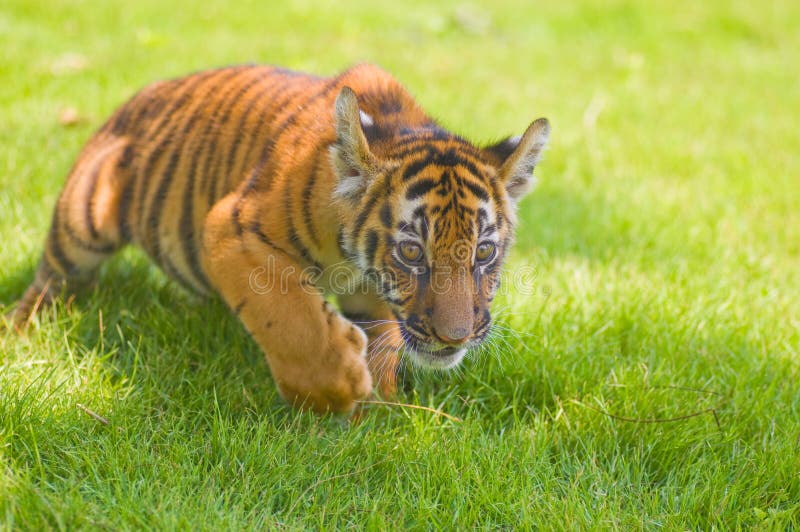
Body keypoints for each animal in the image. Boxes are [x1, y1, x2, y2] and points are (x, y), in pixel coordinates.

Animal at [6, 64, 550, 413]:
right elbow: (289, 316)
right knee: (51, 277)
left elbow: (385, 340)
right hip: (83, 216)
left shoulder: (374, 296)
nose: (455, 338)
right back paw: (19, 330)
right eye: (412, 251)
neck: (353, 261)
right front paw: (339, 389)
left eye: (484, 252)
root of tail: (138, 97)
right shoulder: (230, 225)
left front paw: (383, 406)